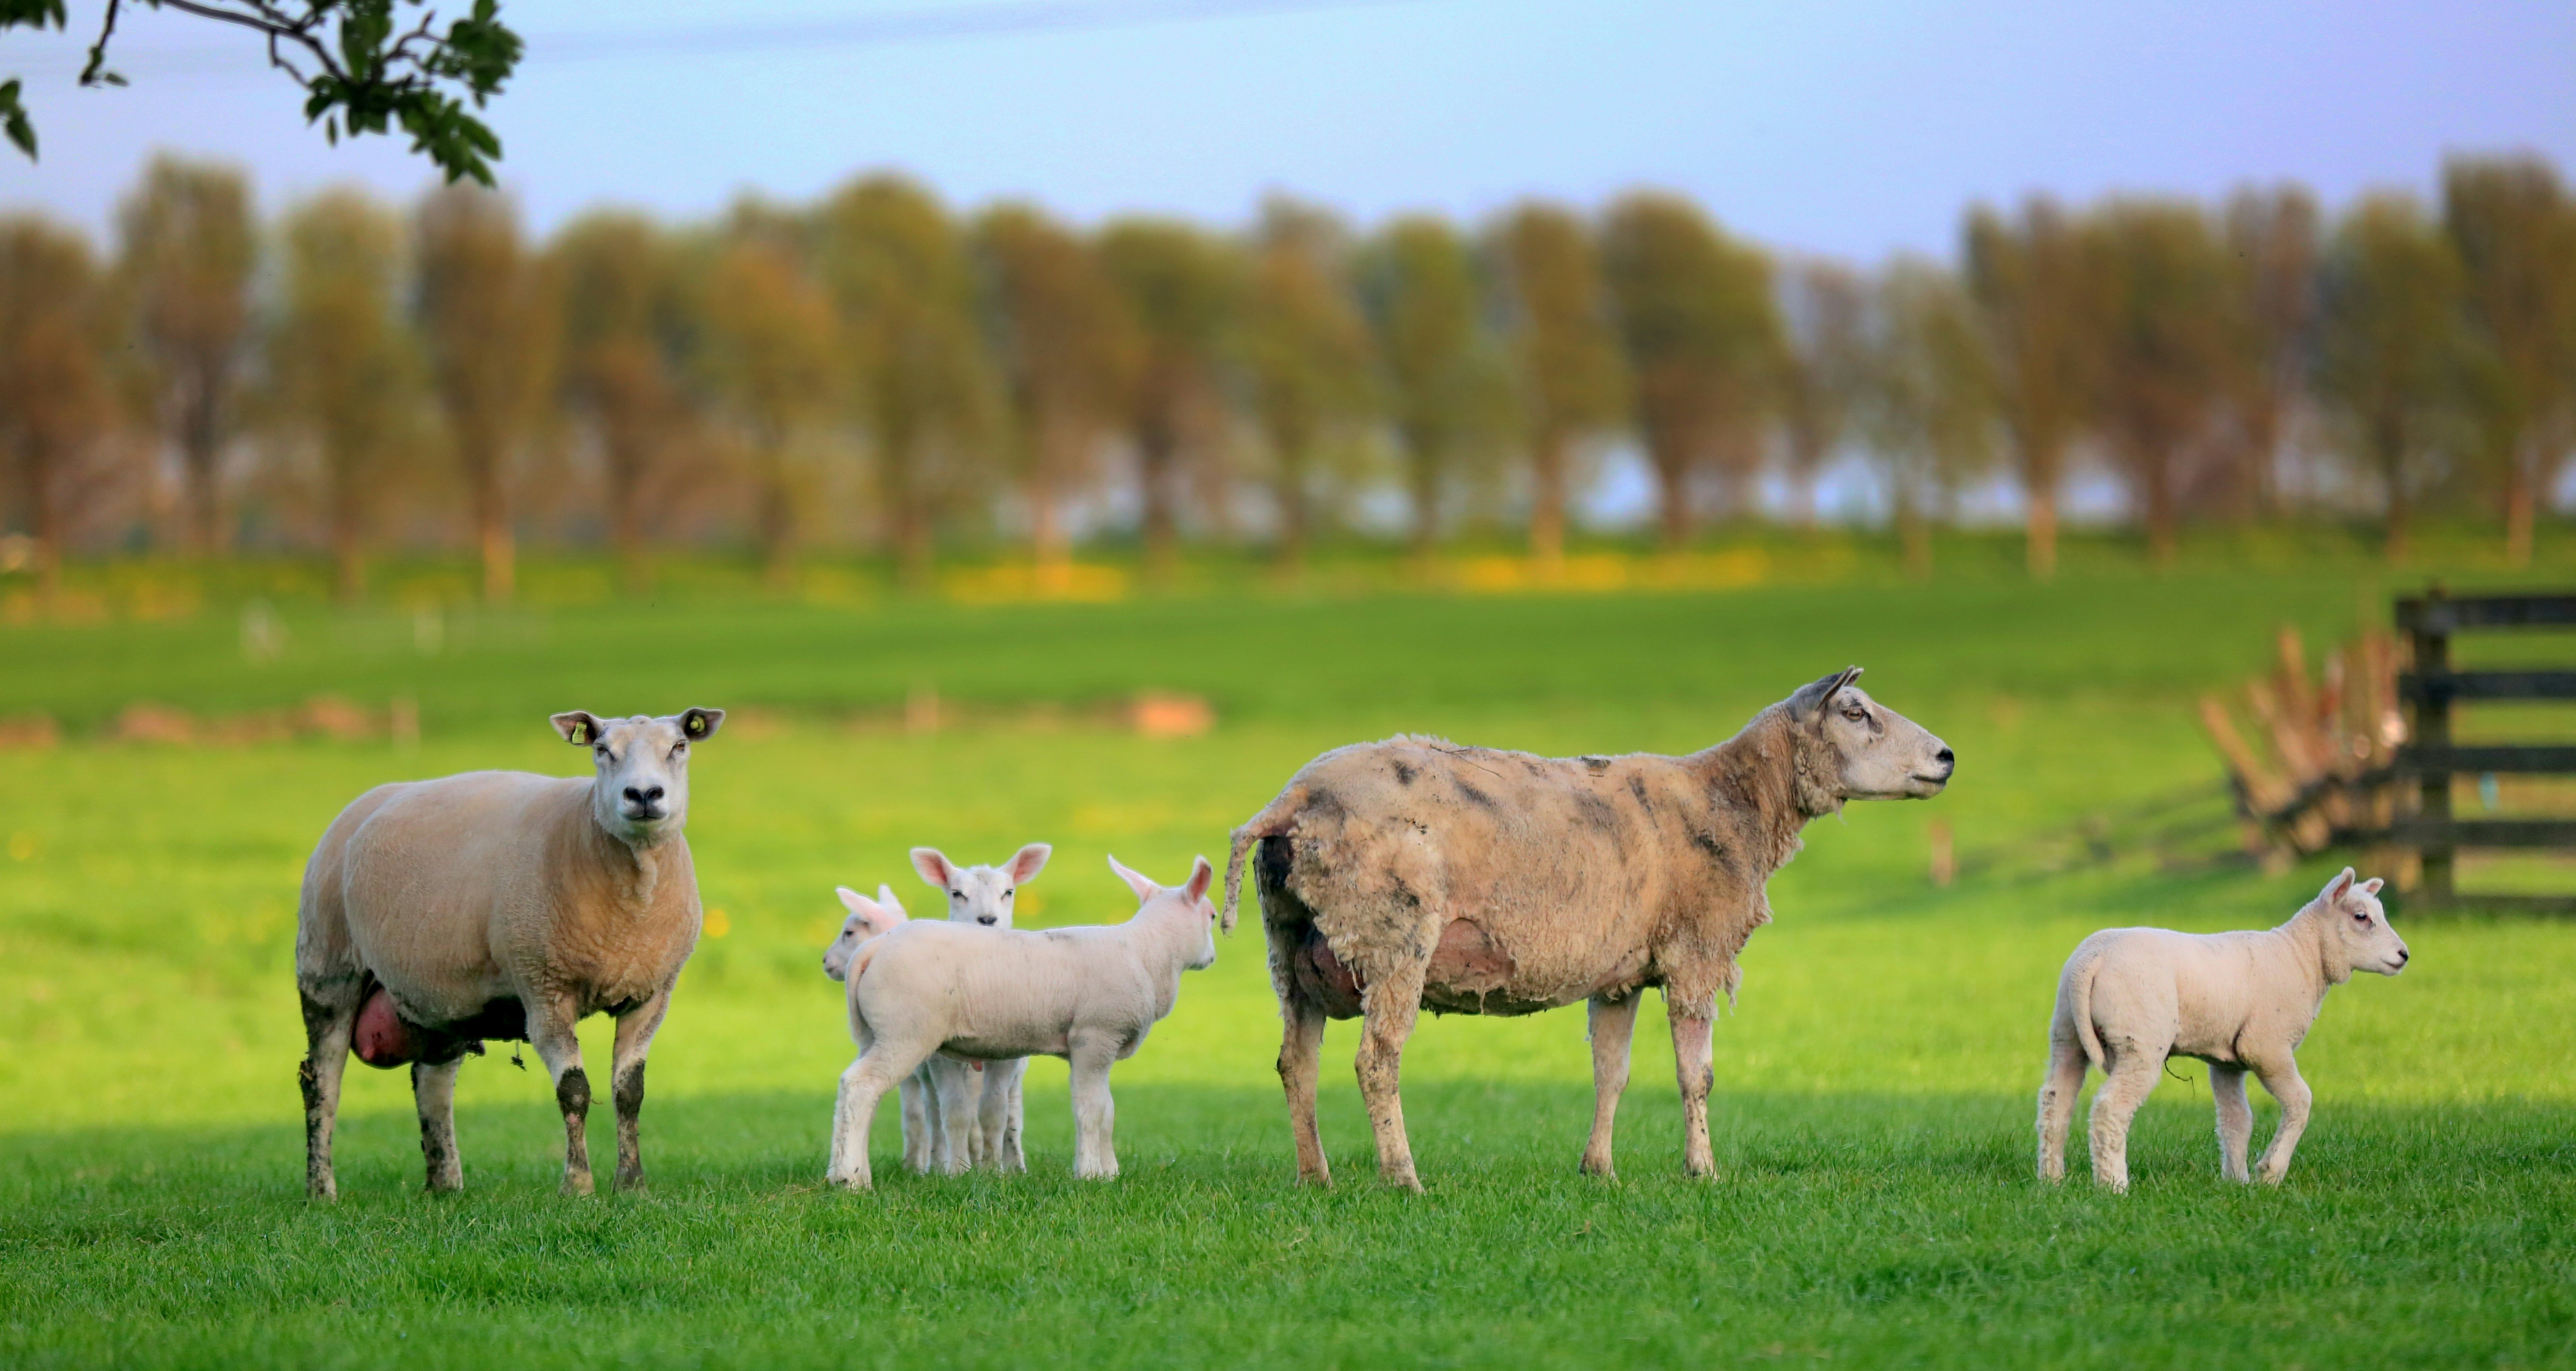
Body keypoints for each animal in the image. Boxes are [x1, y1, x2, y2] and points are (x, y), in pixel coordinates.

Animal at [295, 707, 725, 1198]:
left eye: (679, 746)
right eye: (601, 749)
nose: (644, 795)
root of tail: (365, 803)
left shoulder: (652, 994)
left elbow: (629, 1092)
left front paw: (632, 1184)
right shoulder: (543, 989)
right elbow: (574, 1091)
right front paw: (578, 1186)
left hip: (439, 992)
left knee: (432, 1083)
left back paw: (445, 1185)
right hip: (327, 967)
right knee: (322, 1085)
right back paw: (321, 1190)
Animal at [826, 854, 1221, 1191]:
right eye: (1214, 916)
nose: (1213, 957)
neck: (1147, 951)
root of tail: (874, 948)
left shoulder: (1101, 1046)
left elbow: (1108, 1110)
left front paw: (1110, 1172)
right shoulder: (1094, 1037)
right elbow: (1091, 1109)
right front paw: (1090, 1174)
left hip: (876, 1032)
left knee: (847, 1086)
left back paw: (837, 1173)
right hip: (906, 1030)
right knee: (862, 1086)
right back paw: (854, 1179)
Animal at [1222, 667, 1954, 1189]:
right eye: (1855, 713)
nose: (1947, 756)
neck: (1734, 800)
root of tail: (1292, 801)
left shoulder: (1620, 973)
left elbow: (1612, 1072)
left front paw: (1598, 1169)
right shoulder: (1696, 953)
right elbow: (1697, 1076)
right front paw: (1703, 1170)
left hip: (1290, 948)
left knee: (1297, 1063)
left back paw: (1315, 1177)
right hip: (1393, 938)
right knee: (1376, 1062)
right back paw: (1403, 1178)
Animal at [2037, 867, 2408, 1192]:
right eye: (2361, 917)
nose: (2404, 954)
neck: (2302, 957)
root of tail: (2092, 958)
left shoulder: (2228, 1062)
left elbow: (2237, 1120)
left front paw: (2237, 1181)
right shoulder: (2266, 1046)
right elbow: (2301, 1101)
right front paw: (2270, 1173)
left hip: (2066, 1033)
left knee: (2055, 1100)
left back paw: (2052, 1180)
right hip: (2140, 1039)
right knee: (2110, 1108)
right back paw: (2114, 1185)